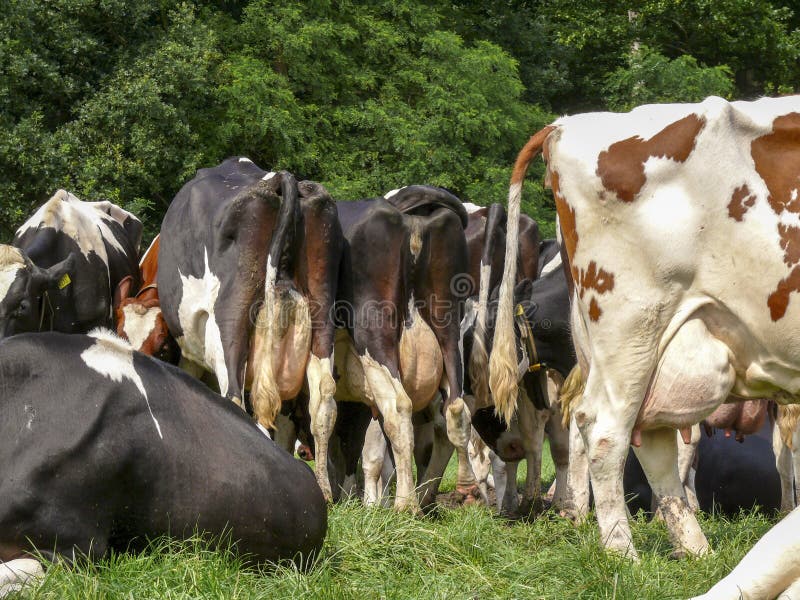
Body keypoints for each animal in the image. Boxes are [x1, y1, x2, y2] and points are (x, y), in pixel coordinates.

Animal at [157, 158, 342, 501]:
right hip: (322, 308)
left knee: (234, 399)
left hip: (229, 321)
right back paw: (323, 490)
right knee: (323, 399)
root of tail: (282, 180)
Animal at [505, 95, 800, 564]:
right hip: (632, 326)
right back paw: (622, 551)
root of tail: (565, 124)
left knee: (652, 441)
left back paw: (693, 547)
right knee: (603, 430)